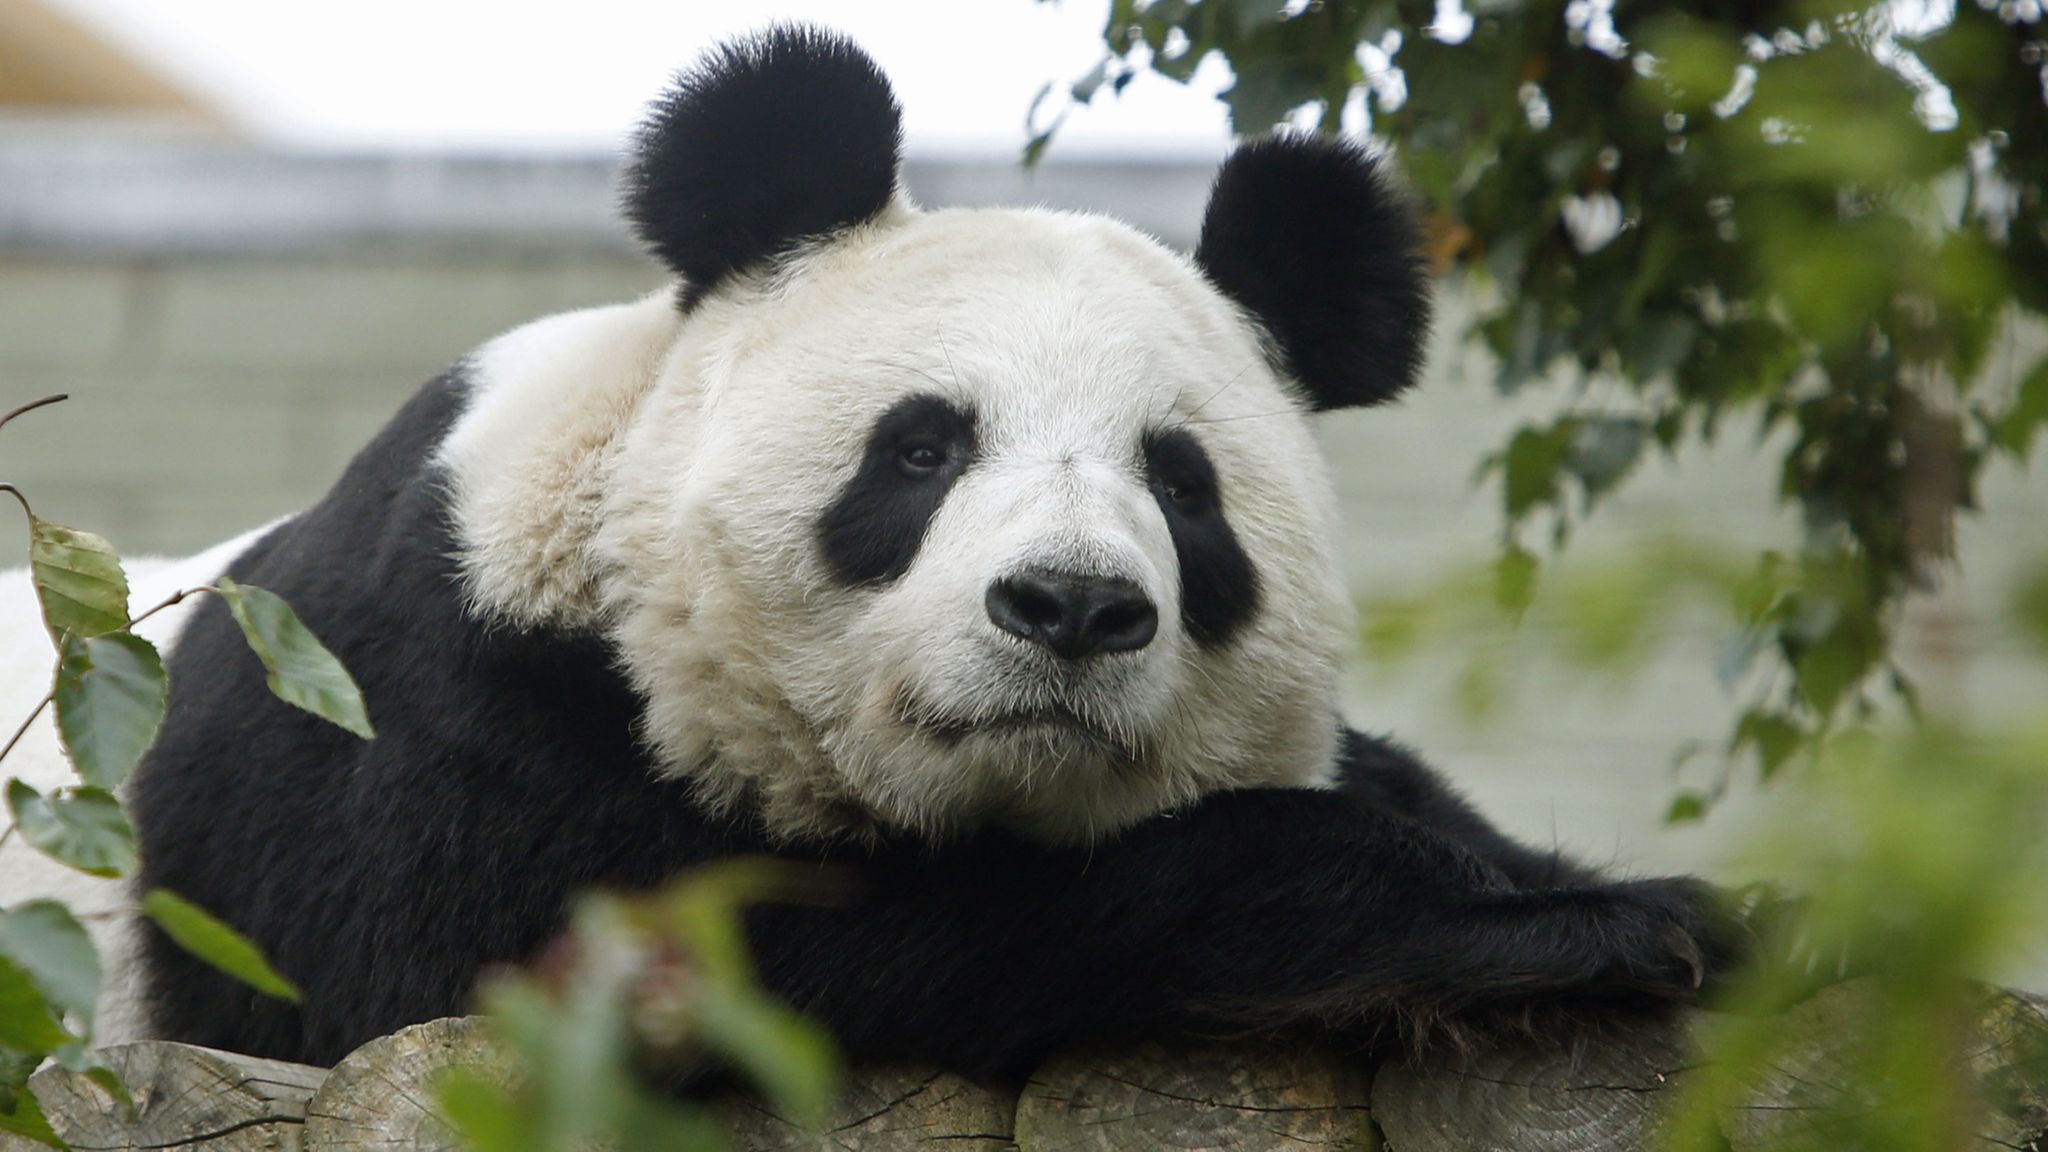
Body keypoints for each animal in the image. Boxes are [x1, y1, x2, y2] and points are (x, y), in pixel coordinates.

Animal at [0, 26, 1740, 1076]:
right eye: (921, 449)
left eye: (1183, 489)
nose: (1072, 606)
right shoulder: (427, 724)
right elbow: (713, 963)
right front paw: (1557, 932)